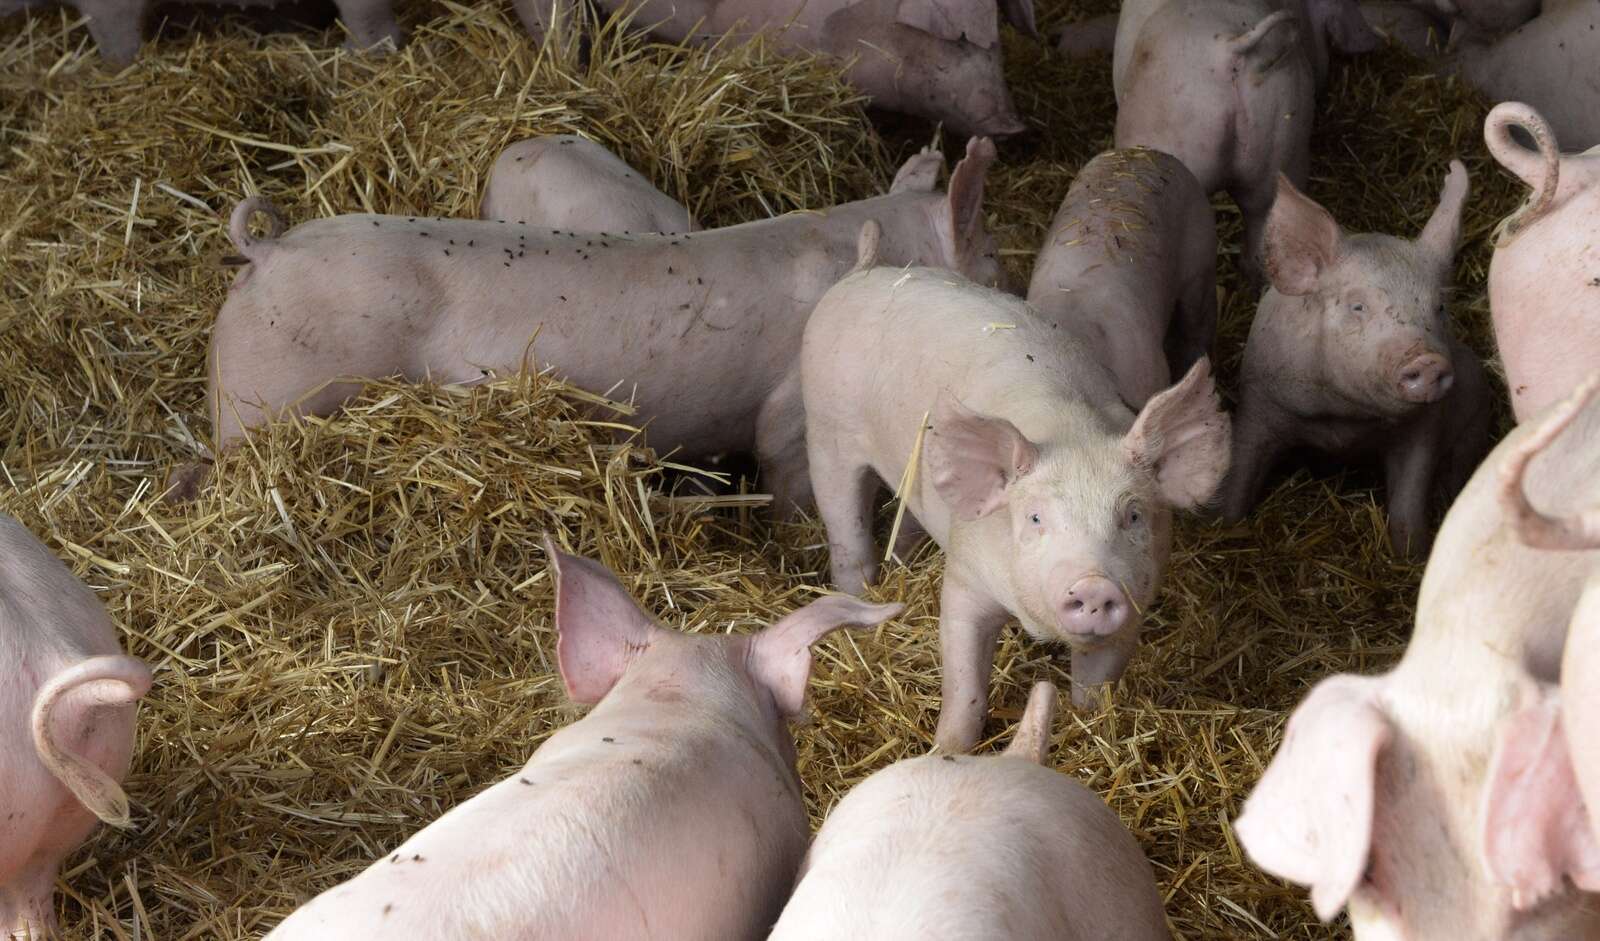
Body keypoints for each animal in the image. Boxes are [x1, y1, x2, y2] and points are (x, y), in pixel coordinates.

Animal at [801, 249, 1230, 752]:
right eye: (1035, 518)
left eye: (1134, 515)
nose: (1093, 584)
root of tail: (862, 271)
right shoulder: (965, 577)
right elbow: (964, 687)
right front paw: (946, 750)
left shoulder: (1137, 601)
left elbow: (1095, 685)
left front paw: (1087, 725)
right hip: (826, 431)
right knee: (844, 520)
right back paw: (857, 595)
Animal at [1218, 163, 1492, 558]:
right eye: (1357, 306)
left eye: (1439, 307)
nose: (1427, 360)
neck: (1343, 420)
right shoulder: (1260, 400)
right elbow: (1240, 470)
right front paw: (1222, 525)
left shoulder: (1425, 426)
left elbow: (1409, 500)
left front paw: (1410, 557)